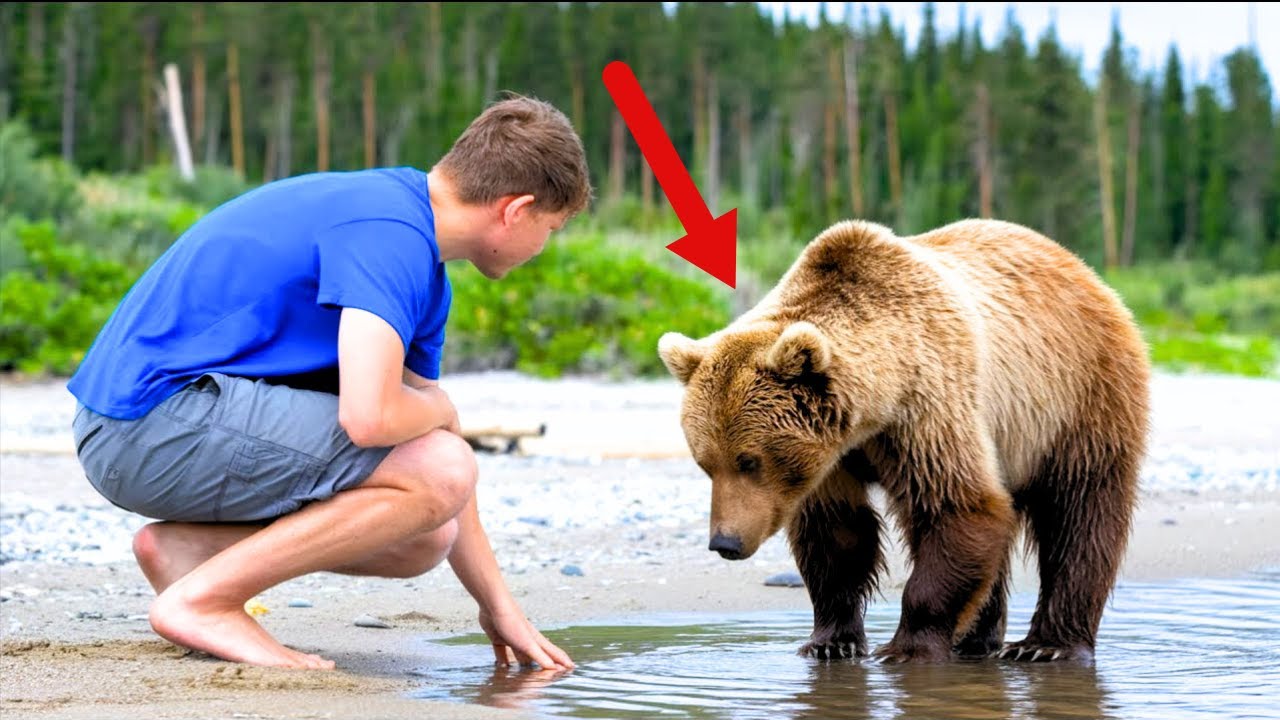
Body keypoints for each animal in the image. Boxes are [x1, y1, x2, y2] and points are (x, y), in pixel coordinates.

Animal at [657, 217, 1150, 665]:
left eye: (749, 460)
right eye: (705, 463)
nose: (725, 542)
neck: (873, 407)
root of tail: (1083, 270)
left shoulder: (924, 412)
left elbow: (958, 507)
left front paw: (905, 648)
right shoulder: (831, 456)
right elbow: (837, 536)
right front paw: (831, 641)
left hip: (1077, 400)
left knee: (1080, 516)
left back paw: (1046, 645)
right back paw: (977, 639)